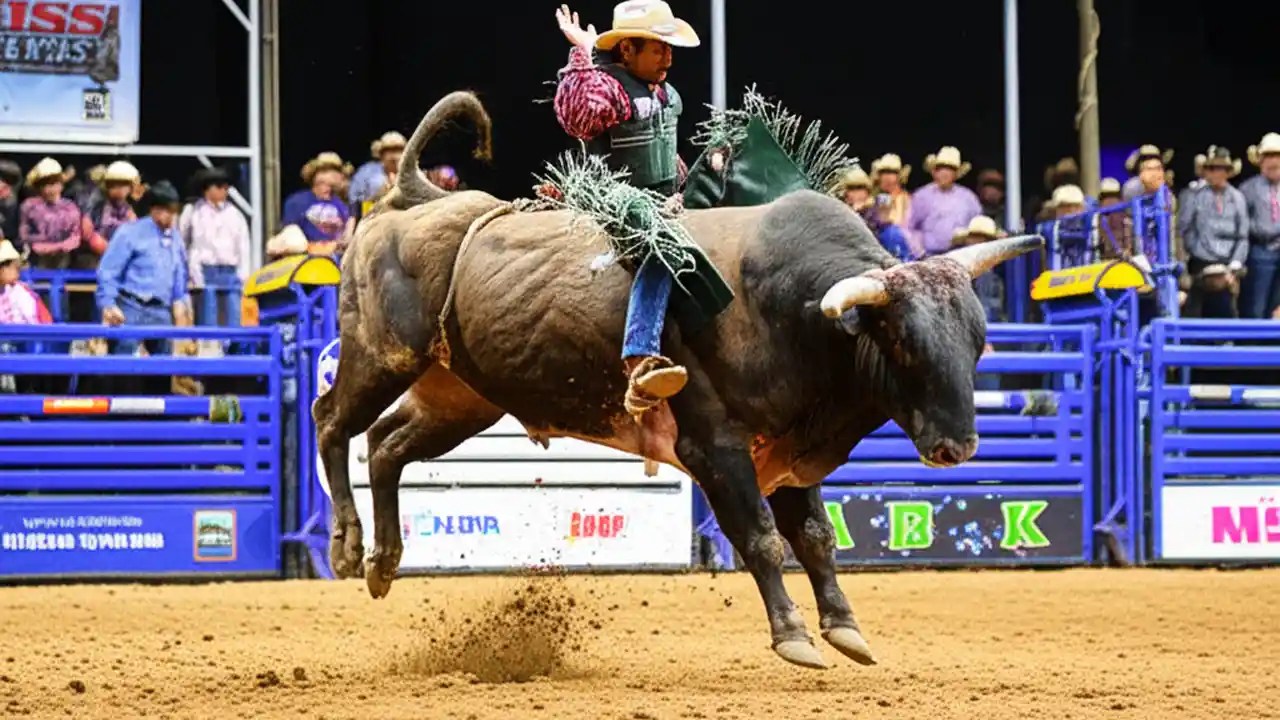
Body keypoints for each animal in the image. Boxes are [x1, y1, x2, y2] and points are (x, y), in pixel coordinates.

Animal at [314, 91, 1041, 670]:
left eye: (977, 343)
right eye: (902, 344)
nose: (957, 446)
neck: (794, 311)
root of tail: (412, 201)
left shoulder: (785, 450)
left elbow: (815, 537)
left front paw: (845, 629)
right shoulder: (715, 447)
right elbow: (761, 539)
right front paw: (794, 637)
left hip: (459, 395)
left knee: (386, 445)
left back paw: (384, 562)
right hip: (380, 356)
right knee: (333, 422)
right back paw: (347, 546)